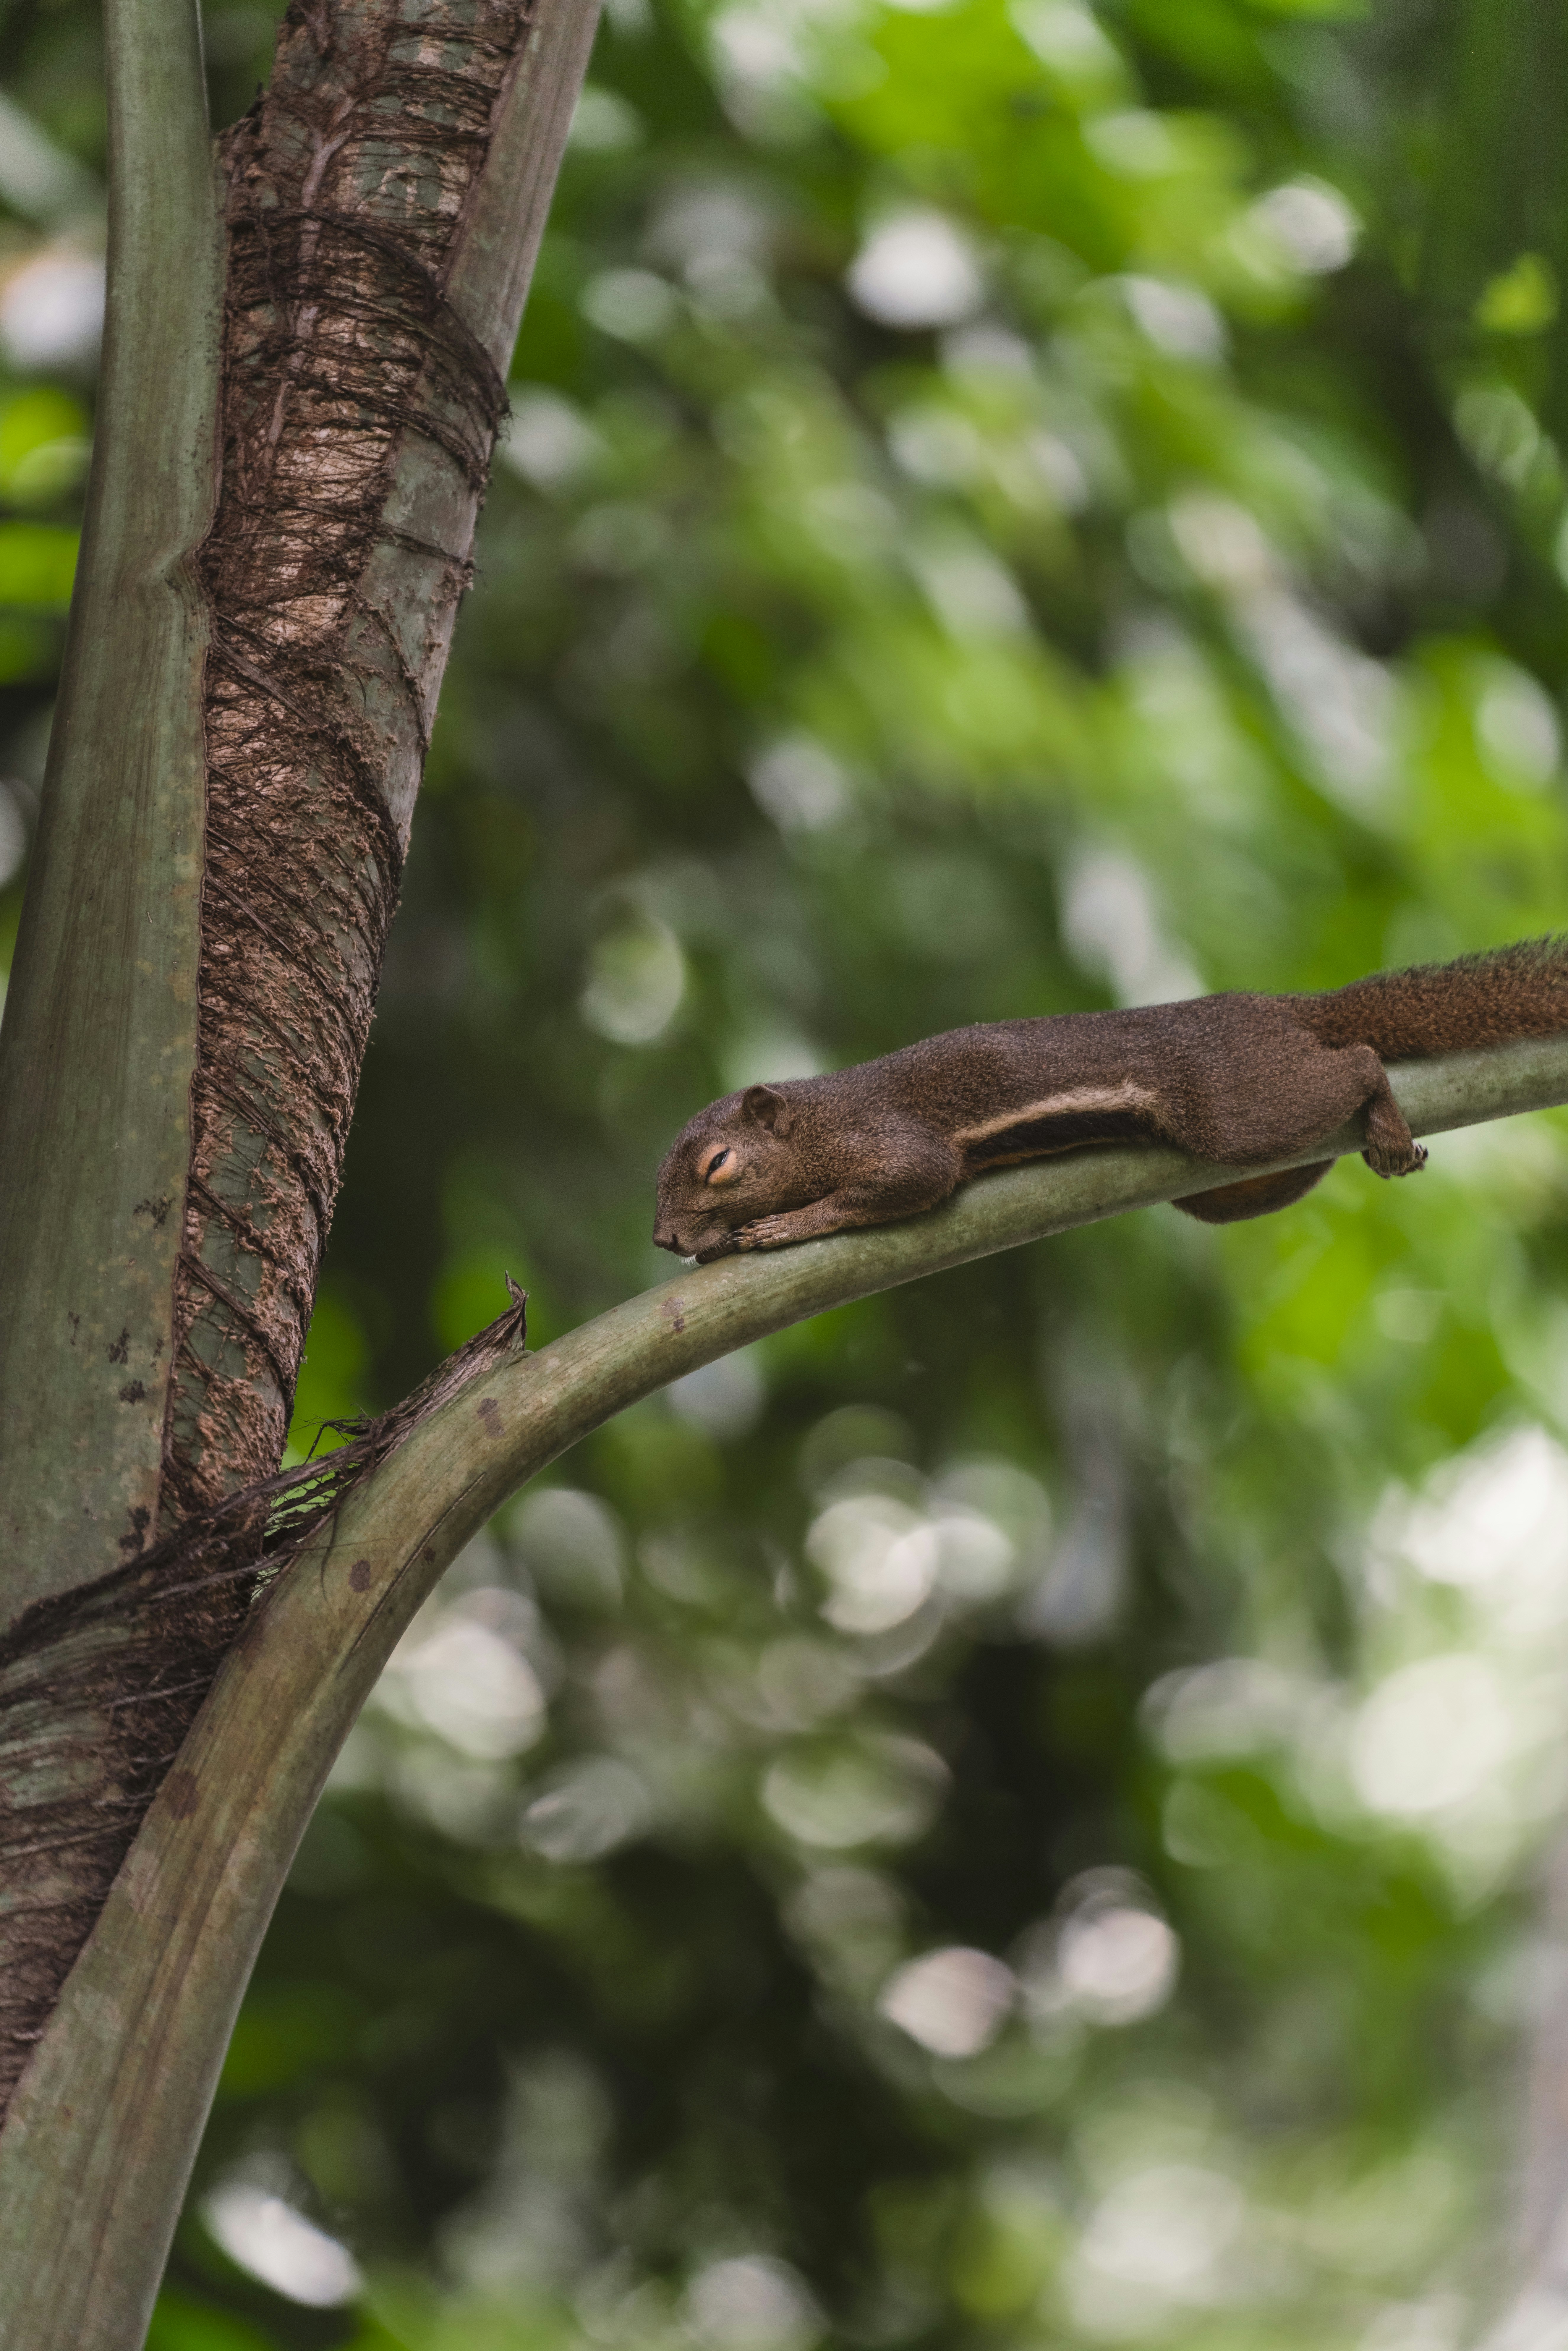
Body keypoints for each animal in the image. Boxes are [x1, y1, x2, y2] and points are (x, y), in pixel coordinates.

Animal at [652, 938, 1568, 1263]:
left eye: (719, 1165)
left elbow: (910, 1181)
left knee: (1361, 1060)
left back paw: (1383, 1113)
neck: (818, 1125)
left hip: (1239, 1107)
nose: (663, 1238)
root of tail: (1278, 1010)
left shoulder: (891, 1141)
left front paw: (783, 1226)